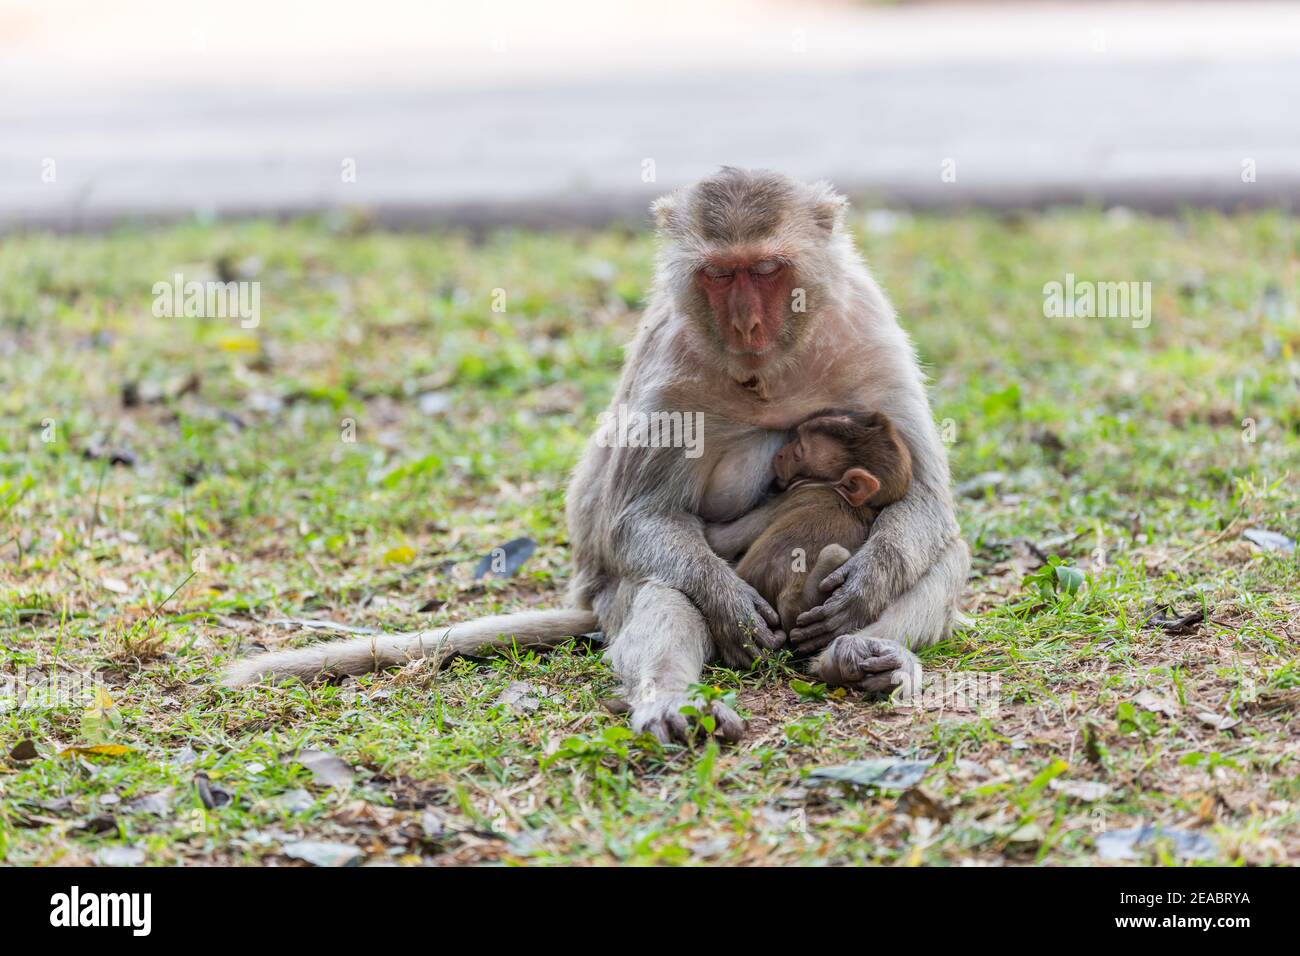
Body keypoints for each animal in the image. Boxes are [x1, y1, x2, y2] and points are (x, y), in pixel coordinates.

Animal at [704, 410, 912, 636]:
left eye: (798, 452)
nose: (780, 454)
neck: (833, 489)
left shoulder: (788, 497)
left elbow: (719, 541)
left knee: (832, 555)